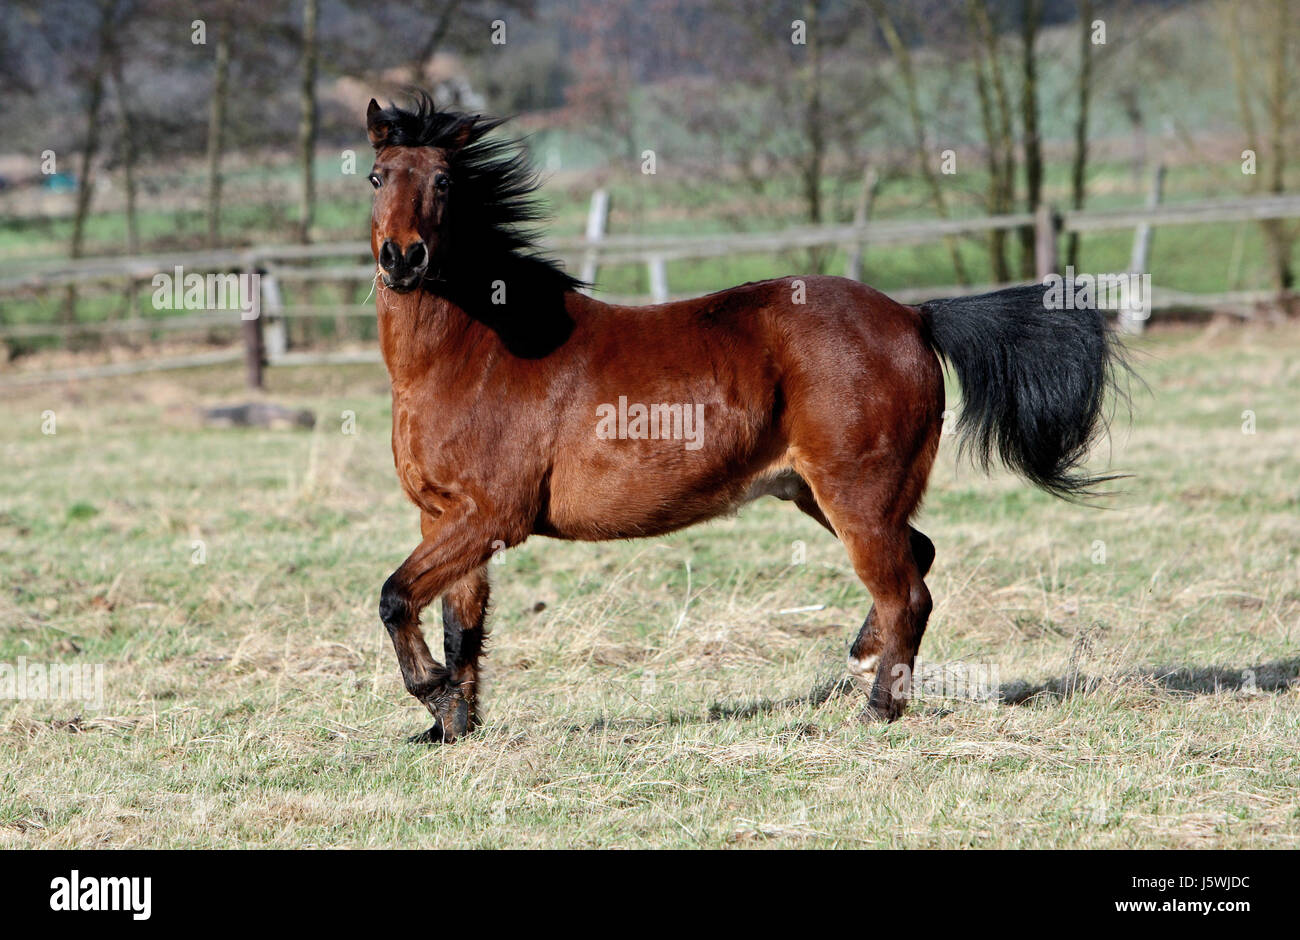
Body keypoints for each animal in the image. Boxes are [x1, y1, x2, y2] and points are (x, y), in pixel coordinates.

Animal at [364, 93, 1128, 743]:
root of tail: (915, 316)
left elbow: (396, 598)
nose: (403, 258)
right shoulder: (446, 516)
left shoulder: (493, 514)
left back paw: (877, 708)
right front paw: (451, 727)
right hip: (820, 493)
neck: (483, 348)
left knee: (908, 592)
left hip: (856, 494)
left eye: (443, 183)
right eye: (375, 176)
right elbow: (461, 627)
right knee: (919, 558)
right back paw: (862, 654)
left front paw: (432, 695)